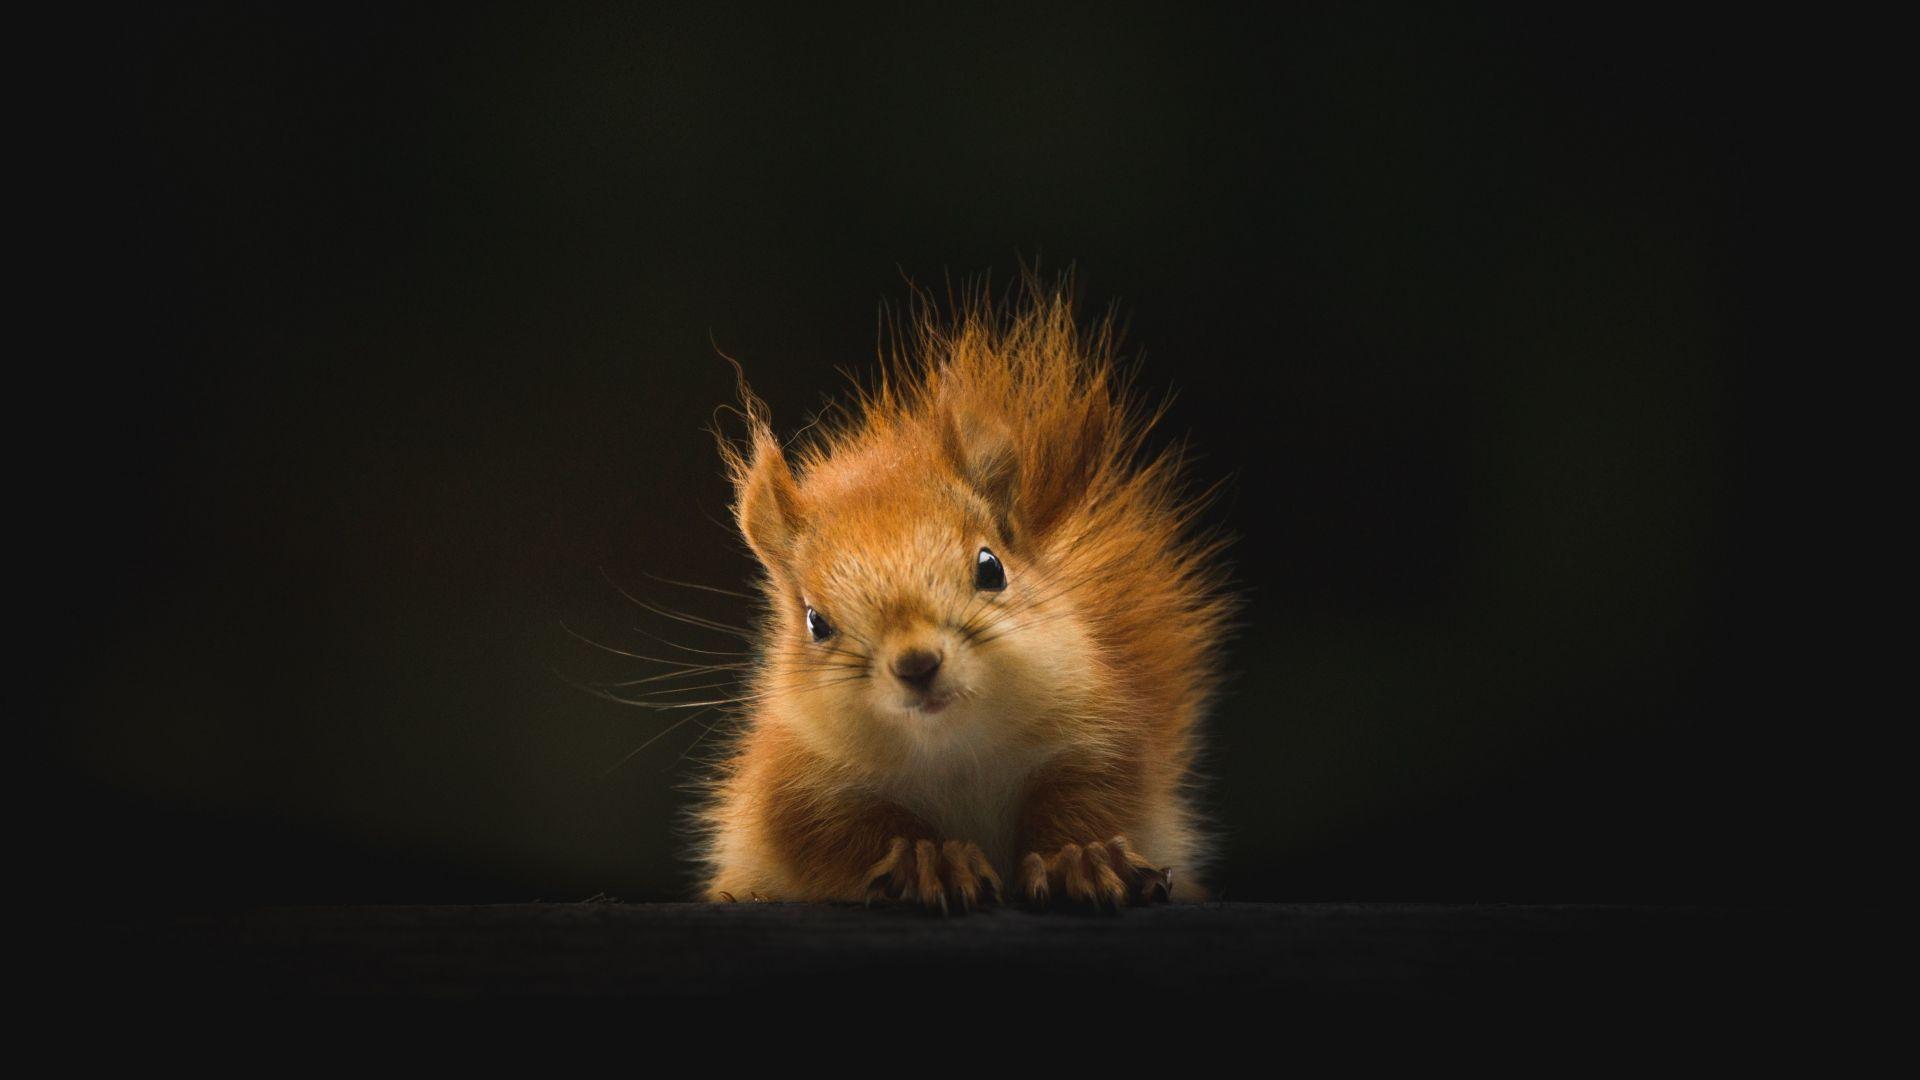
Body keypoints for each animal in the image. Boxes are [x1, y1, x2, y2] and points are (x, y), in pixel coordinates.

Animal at [695, 281, 1234, 911]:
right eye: (815, 622)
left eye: (991, 568)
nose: (917, 664)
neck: (953, 751)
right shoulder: (796, 788)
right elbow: (842, 837)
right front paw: (930, 861)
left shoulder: (1098, 736)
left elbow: (1090, 800)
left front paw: (1082, 857)